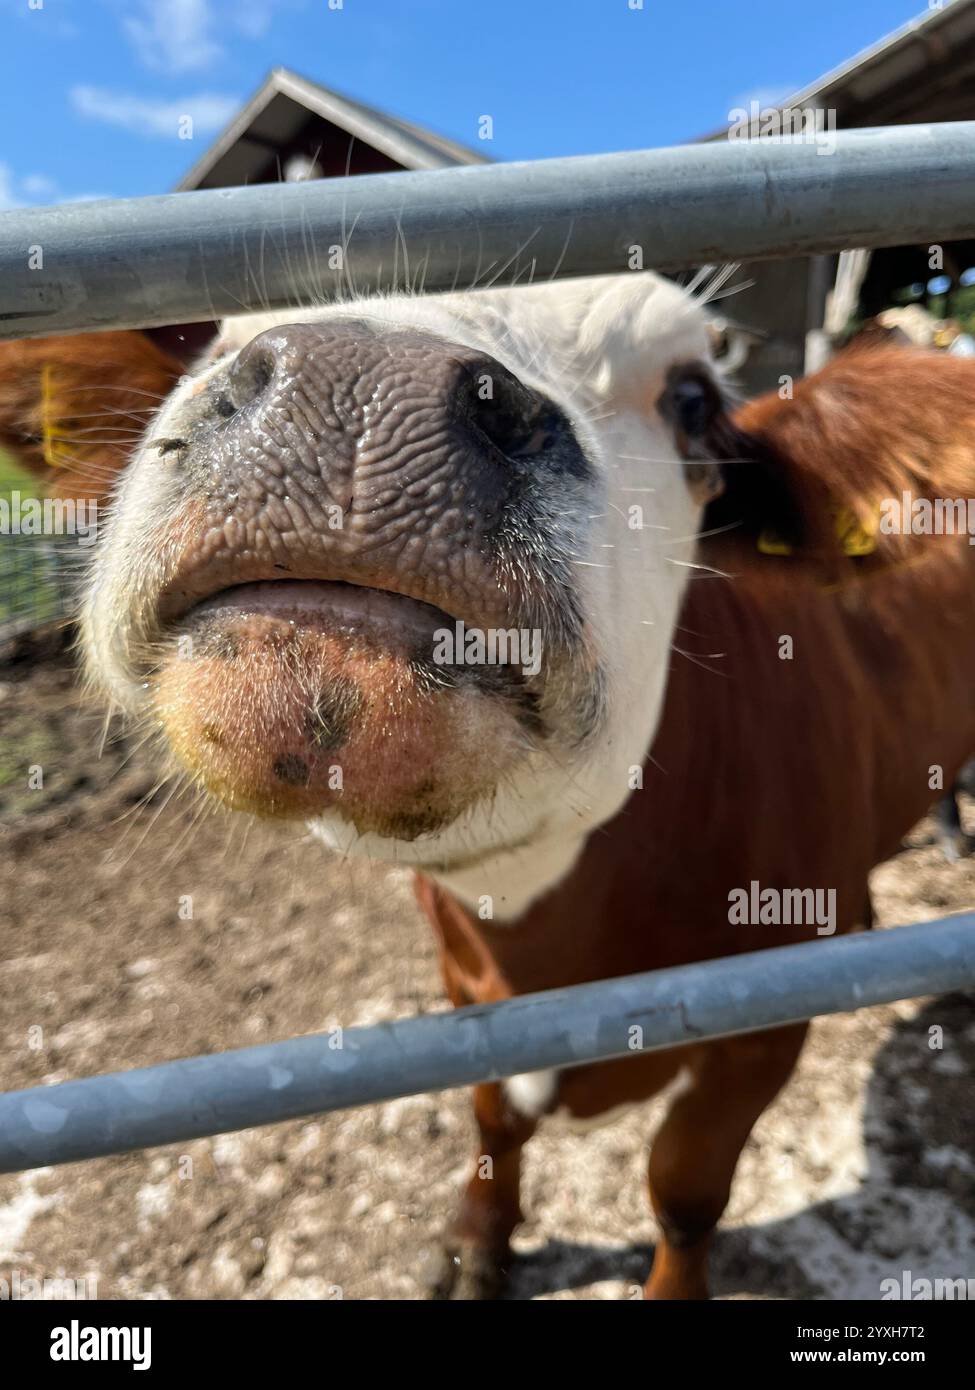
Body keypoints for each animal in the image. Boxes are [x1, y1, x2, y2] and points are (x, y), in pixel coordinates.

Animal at [78, 273, 975, 1299]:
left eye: (693, 400)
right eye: (215, 327)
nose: (363, 384)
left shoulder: (761, 1026)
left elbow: (683, 1192)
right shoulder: (466, 991)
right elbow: (492, 1118)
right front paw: (478, 1242)